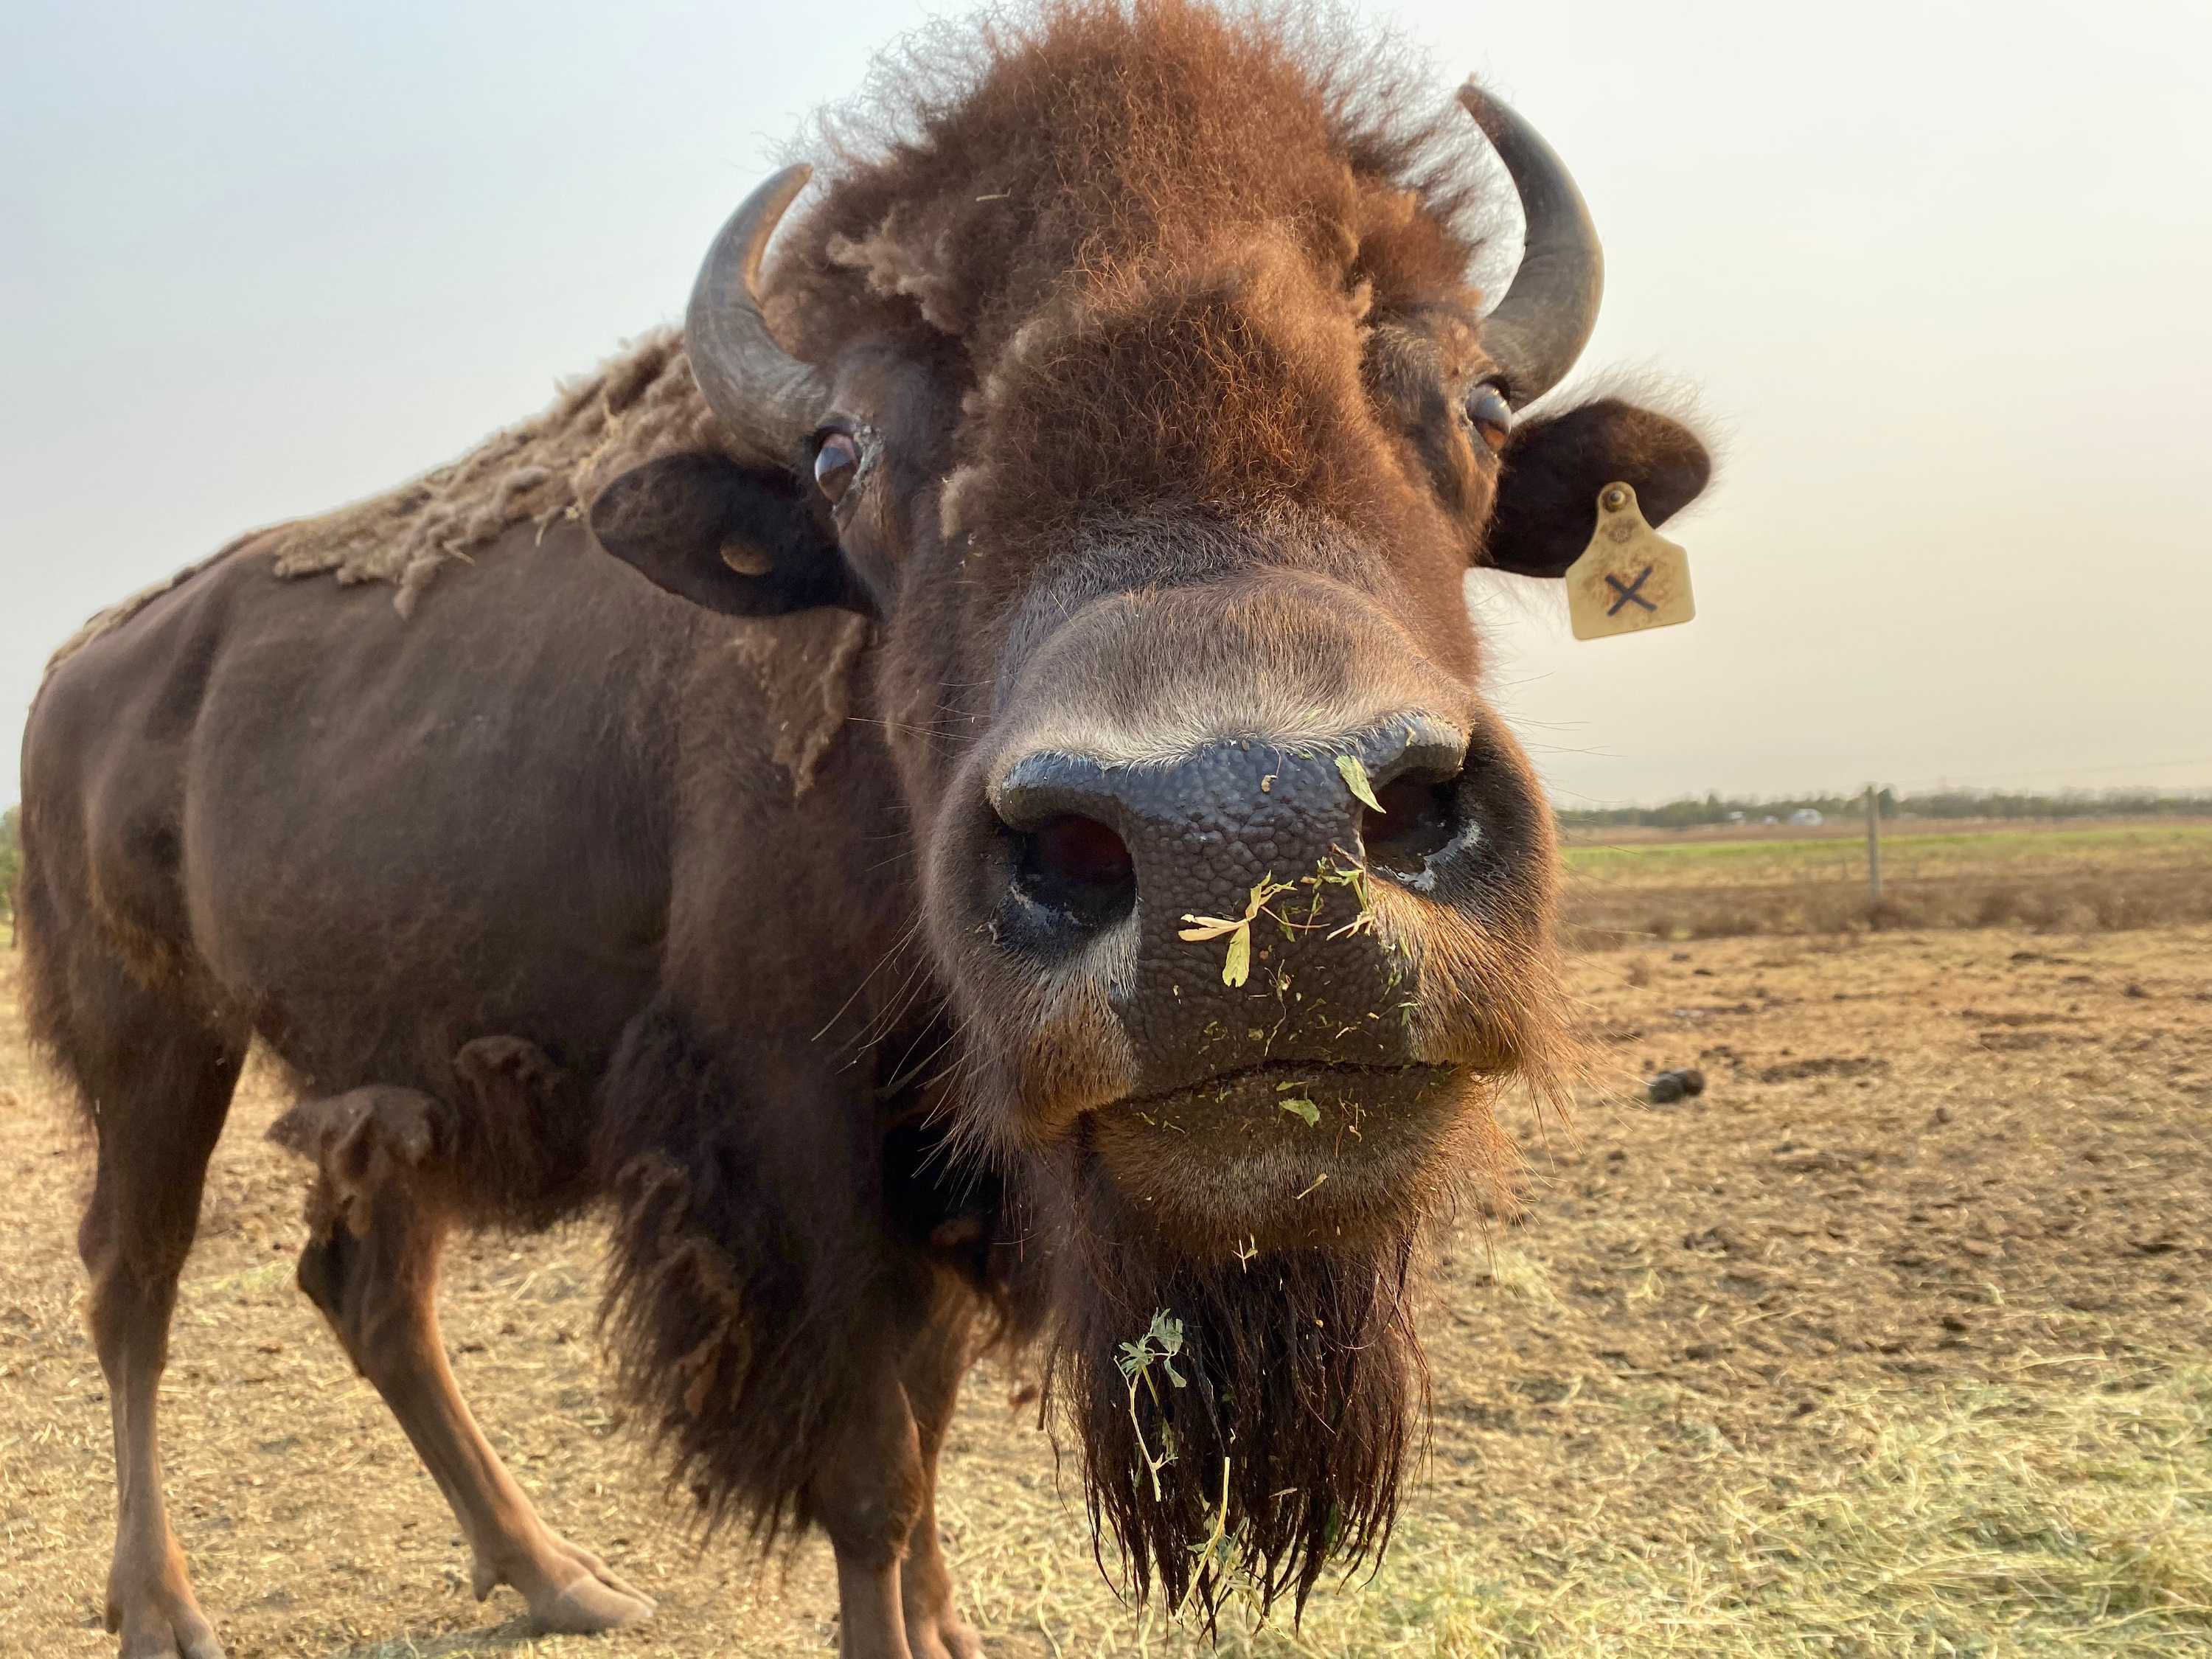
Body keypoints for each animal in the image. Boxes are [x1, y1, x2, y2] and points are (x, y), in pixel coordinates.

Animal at [19, 4, 1710, 1656]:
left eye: (1477, 404)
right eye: (844, 456)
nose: (1247, 832)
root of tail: (82, 671)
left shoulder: (957, 1147)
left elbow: (933, 1416)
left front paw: (953, 1628)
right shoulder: (798, 1132)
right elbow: (872, 1468)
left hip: (382, 1086)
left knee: (368, 1292)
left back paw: (556, 1577)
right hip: (153, 1042)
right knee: (132, 1284)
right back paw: (164, 1607)